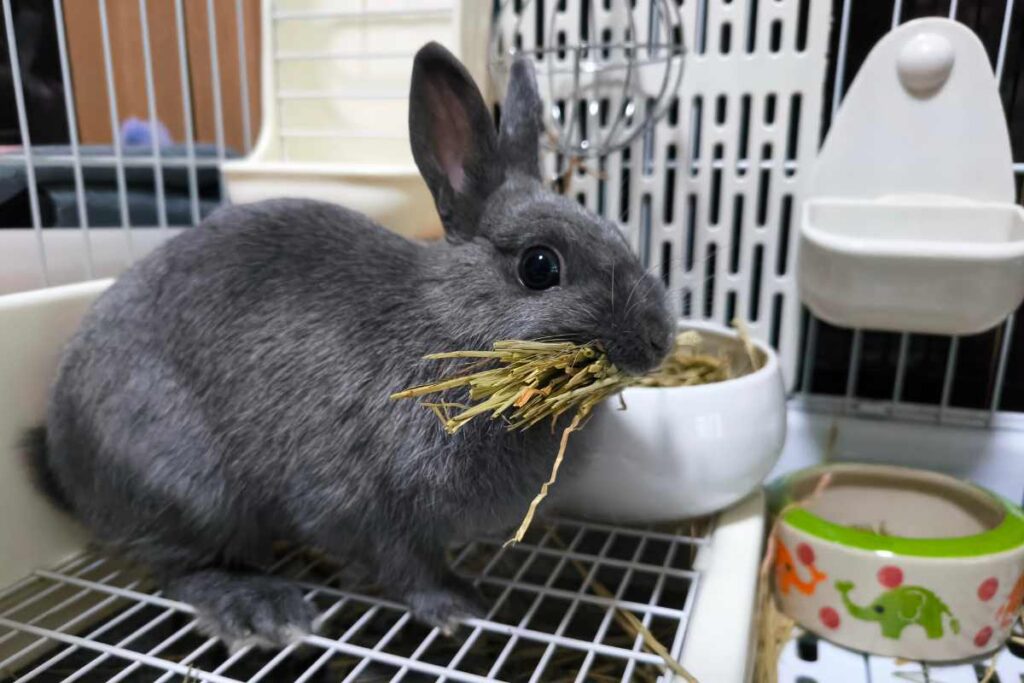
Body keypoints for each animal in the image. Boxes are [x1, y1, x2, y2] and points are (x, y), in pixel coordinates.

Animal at [23, 42, 674, 652]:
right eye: (540, 267)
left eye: (617, 233)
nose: (658, 337)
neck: (444, 326)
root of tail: (64, 455)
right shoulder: (367, 508)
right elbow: (405, 565)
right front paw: (457, 605)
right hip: (188, 486)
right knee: (177, 566)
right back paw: (260, 608)